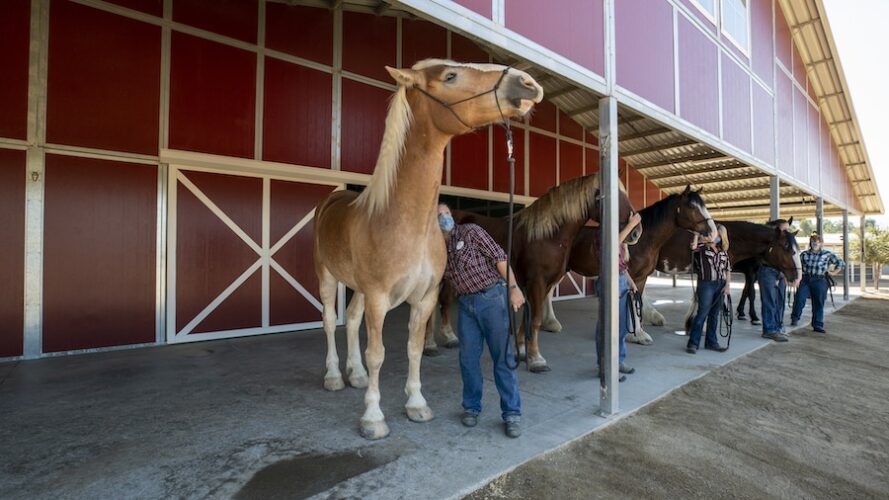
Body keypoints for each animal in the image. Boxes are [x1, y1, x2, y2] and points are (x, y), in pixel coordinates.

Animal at [313, 59, 543, 440]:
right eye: (450, 75)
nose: (527, 83)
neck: (406, 222)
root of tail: (331, 200)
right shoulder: (378, 297)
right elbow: (378, 353)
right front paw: (373, 418)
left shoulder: (424, 298)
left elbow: (414, 348)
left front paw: (416, 404)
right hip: (328, 277)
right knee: (331, 322)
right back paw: (333, 376)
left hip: (359, 288)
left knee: (352, 318)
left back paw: (355, 374)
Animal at [428, 172, 640, 372]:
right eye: (613, 195)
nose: (636, 231)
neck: (547, 236)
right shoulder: (536, 282)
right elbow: (536, 320)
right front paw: (536, 359)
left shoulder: (540, 285)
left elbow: (528, 319)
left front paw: (521, 351)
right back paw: (433, 344)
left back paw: (447, 338)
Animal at [539, 185, 718, 343]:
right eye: (692, 207)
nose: (713, 232)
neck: (643, 239)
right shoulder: (630, 275)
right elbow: (633, 302)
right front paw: (636, 335)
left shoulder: (641, 277)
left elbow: (638, 300)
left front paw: (637, 332)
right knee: (547, 293)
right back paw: (550, 323)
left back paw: (548, 323)